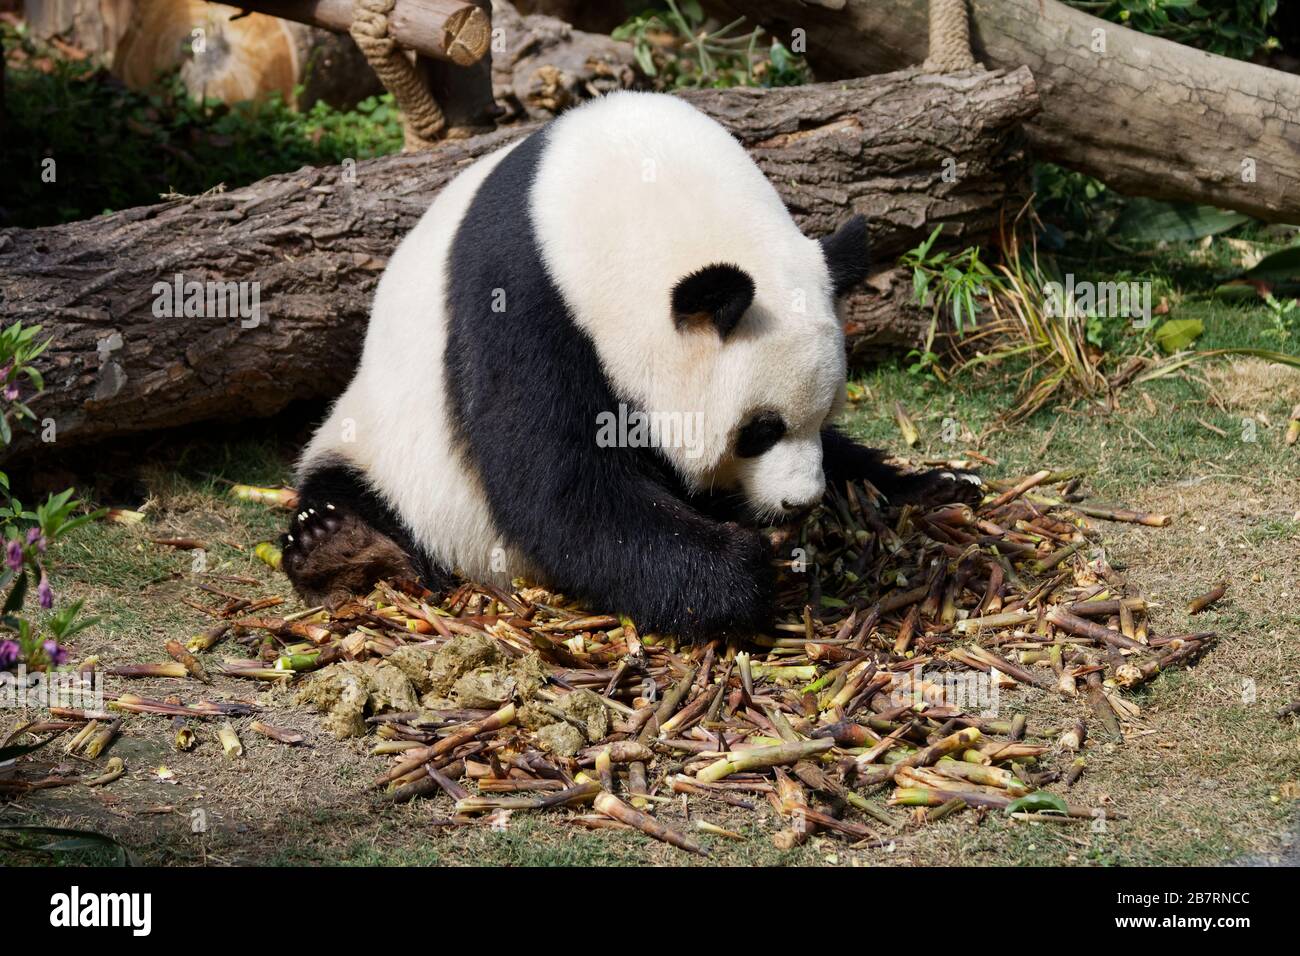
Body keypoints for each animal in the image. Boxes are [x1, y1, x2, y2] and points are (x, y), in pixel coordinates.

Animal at [282, 91, 978, 639]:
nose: (798, 502)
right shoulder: (521, 301)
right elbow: (558, 488)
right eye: (759, 431)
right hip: (386, 448)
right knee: (352, 491)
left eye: (824, 412)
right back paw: (339, 545)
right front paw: (741, 571)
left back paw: (935, 488)